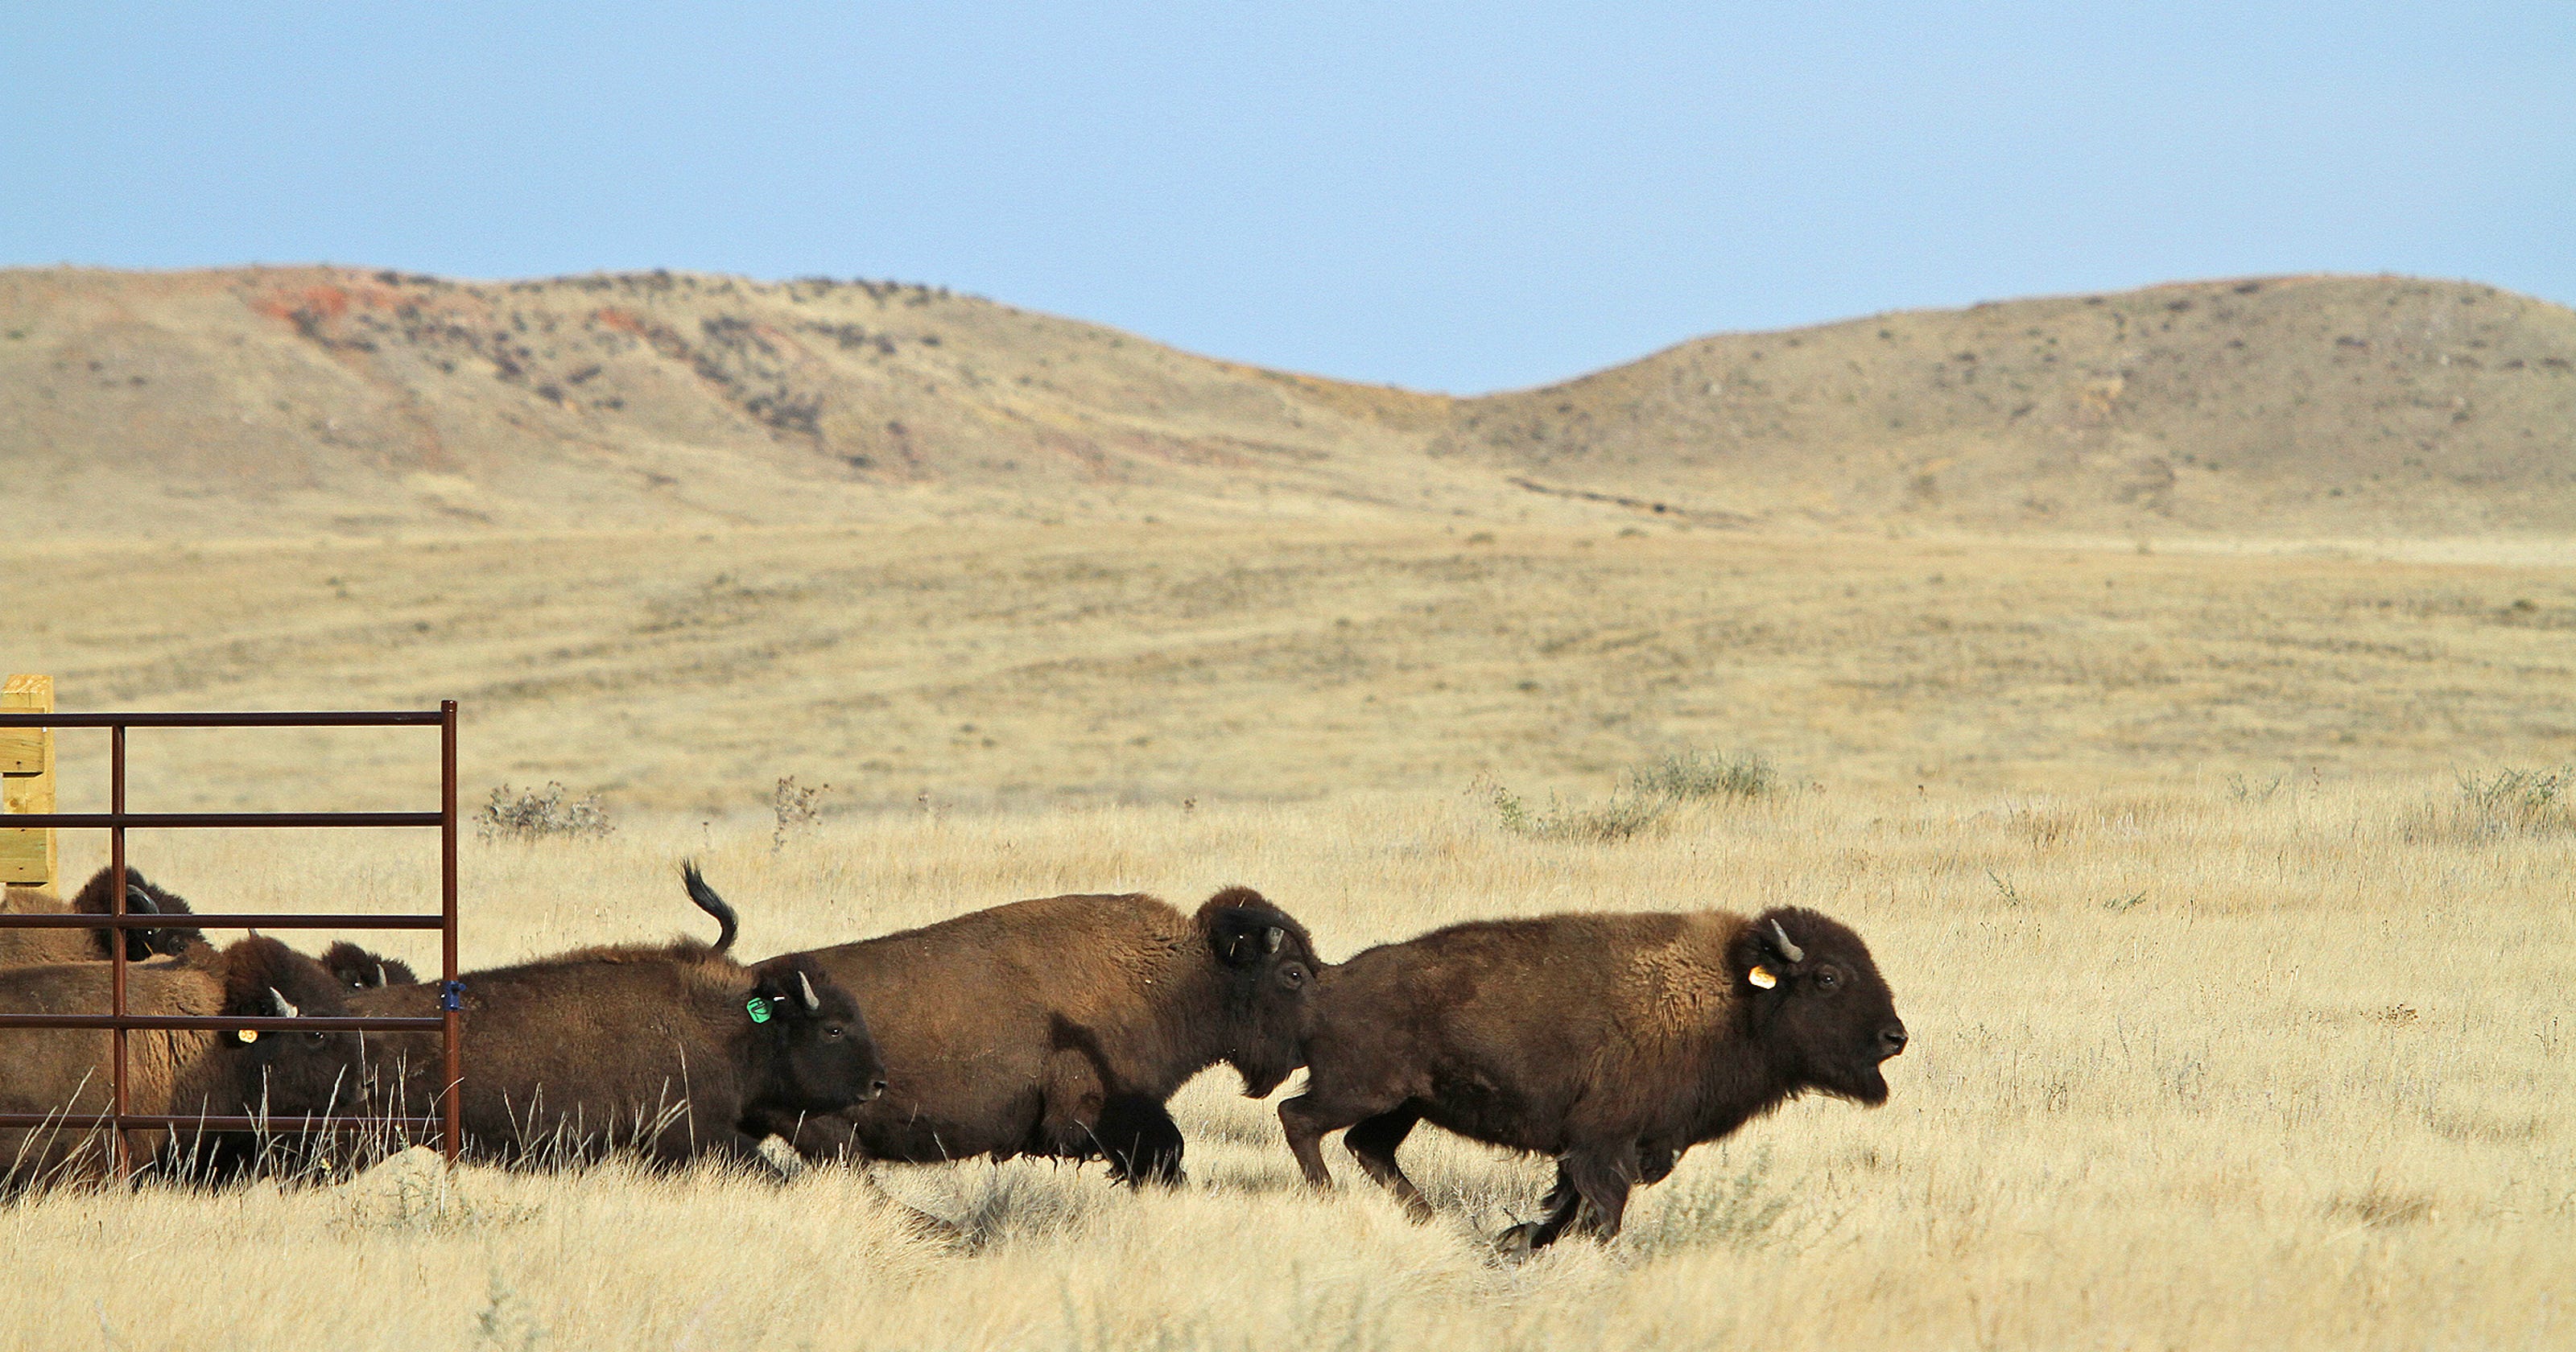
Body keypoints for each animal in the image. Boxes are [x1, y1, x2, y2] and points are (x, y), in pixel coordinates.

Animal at [1280, 906, 1906, 1251]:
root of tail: (1330, 979)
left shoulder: (1619, 1147)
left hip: (1401, 1106)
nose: (1894, 1038)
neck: (1733, 997)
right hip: (1361, 1091)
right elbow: (1601, 1210)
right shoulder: (1605, 1145)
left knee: (1369, 1147)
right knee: (1299, 1118)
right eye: (1828, 977)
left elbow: (1567, 1207)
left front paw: (1516, 1242)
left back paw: (1427, 1218)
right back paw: (1328, 1196)